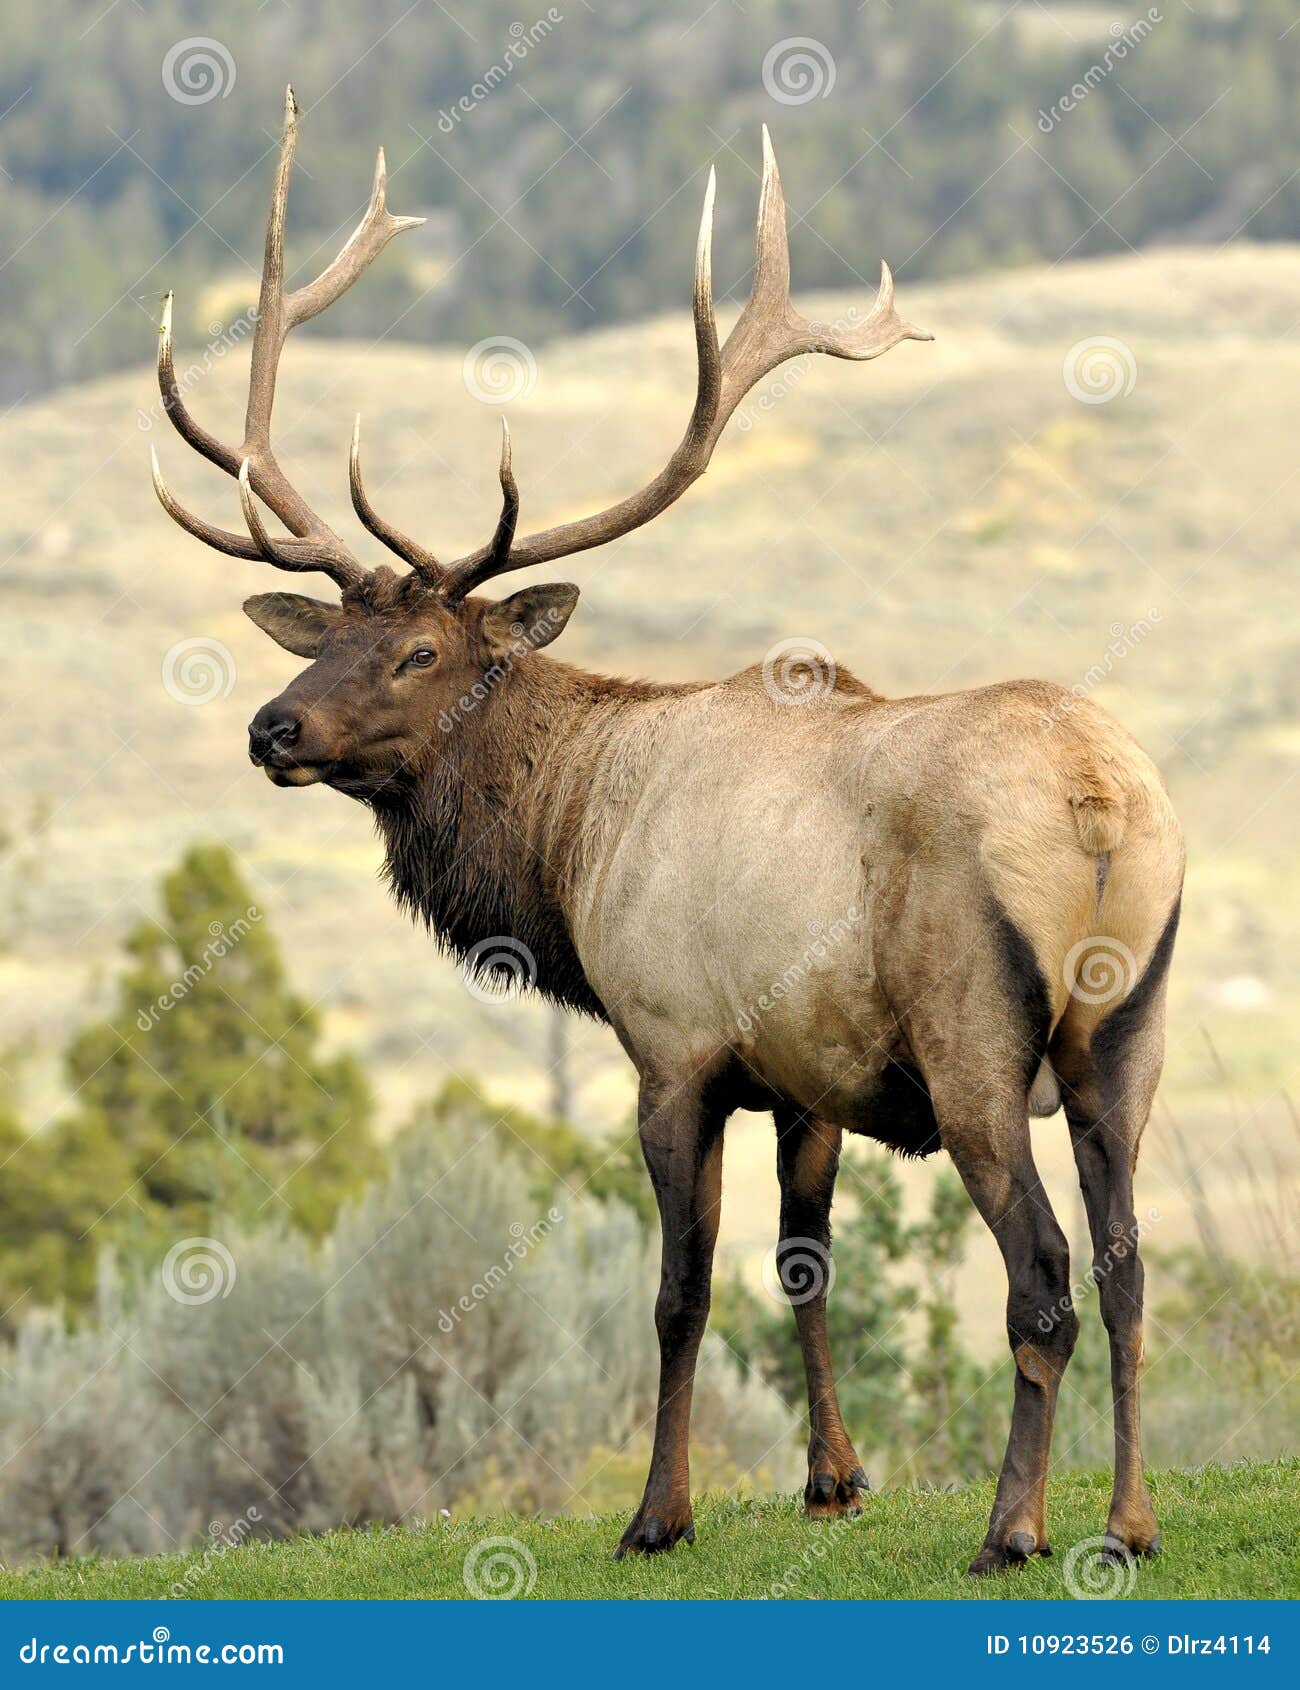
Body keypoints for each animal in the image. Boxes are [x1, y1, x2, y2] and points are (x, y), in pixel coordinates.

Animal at [151, 89, 1183, 1575]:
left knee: (1042, 1272)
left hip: (975, 1034)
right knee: (1129, 1264)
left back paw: (1012, 1526)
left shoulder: (673, 1042)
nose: (271, 729)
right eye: (326, 635)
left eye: (417, 651)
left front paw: (659, 1511)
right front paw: (832, 1478)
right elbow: (802, 1261)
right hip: (1126, 1030)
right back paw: (1129, 1519)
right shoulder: (808, 1073)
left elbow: (679, 1290)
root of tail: (1101, 799)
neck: (568, 845)